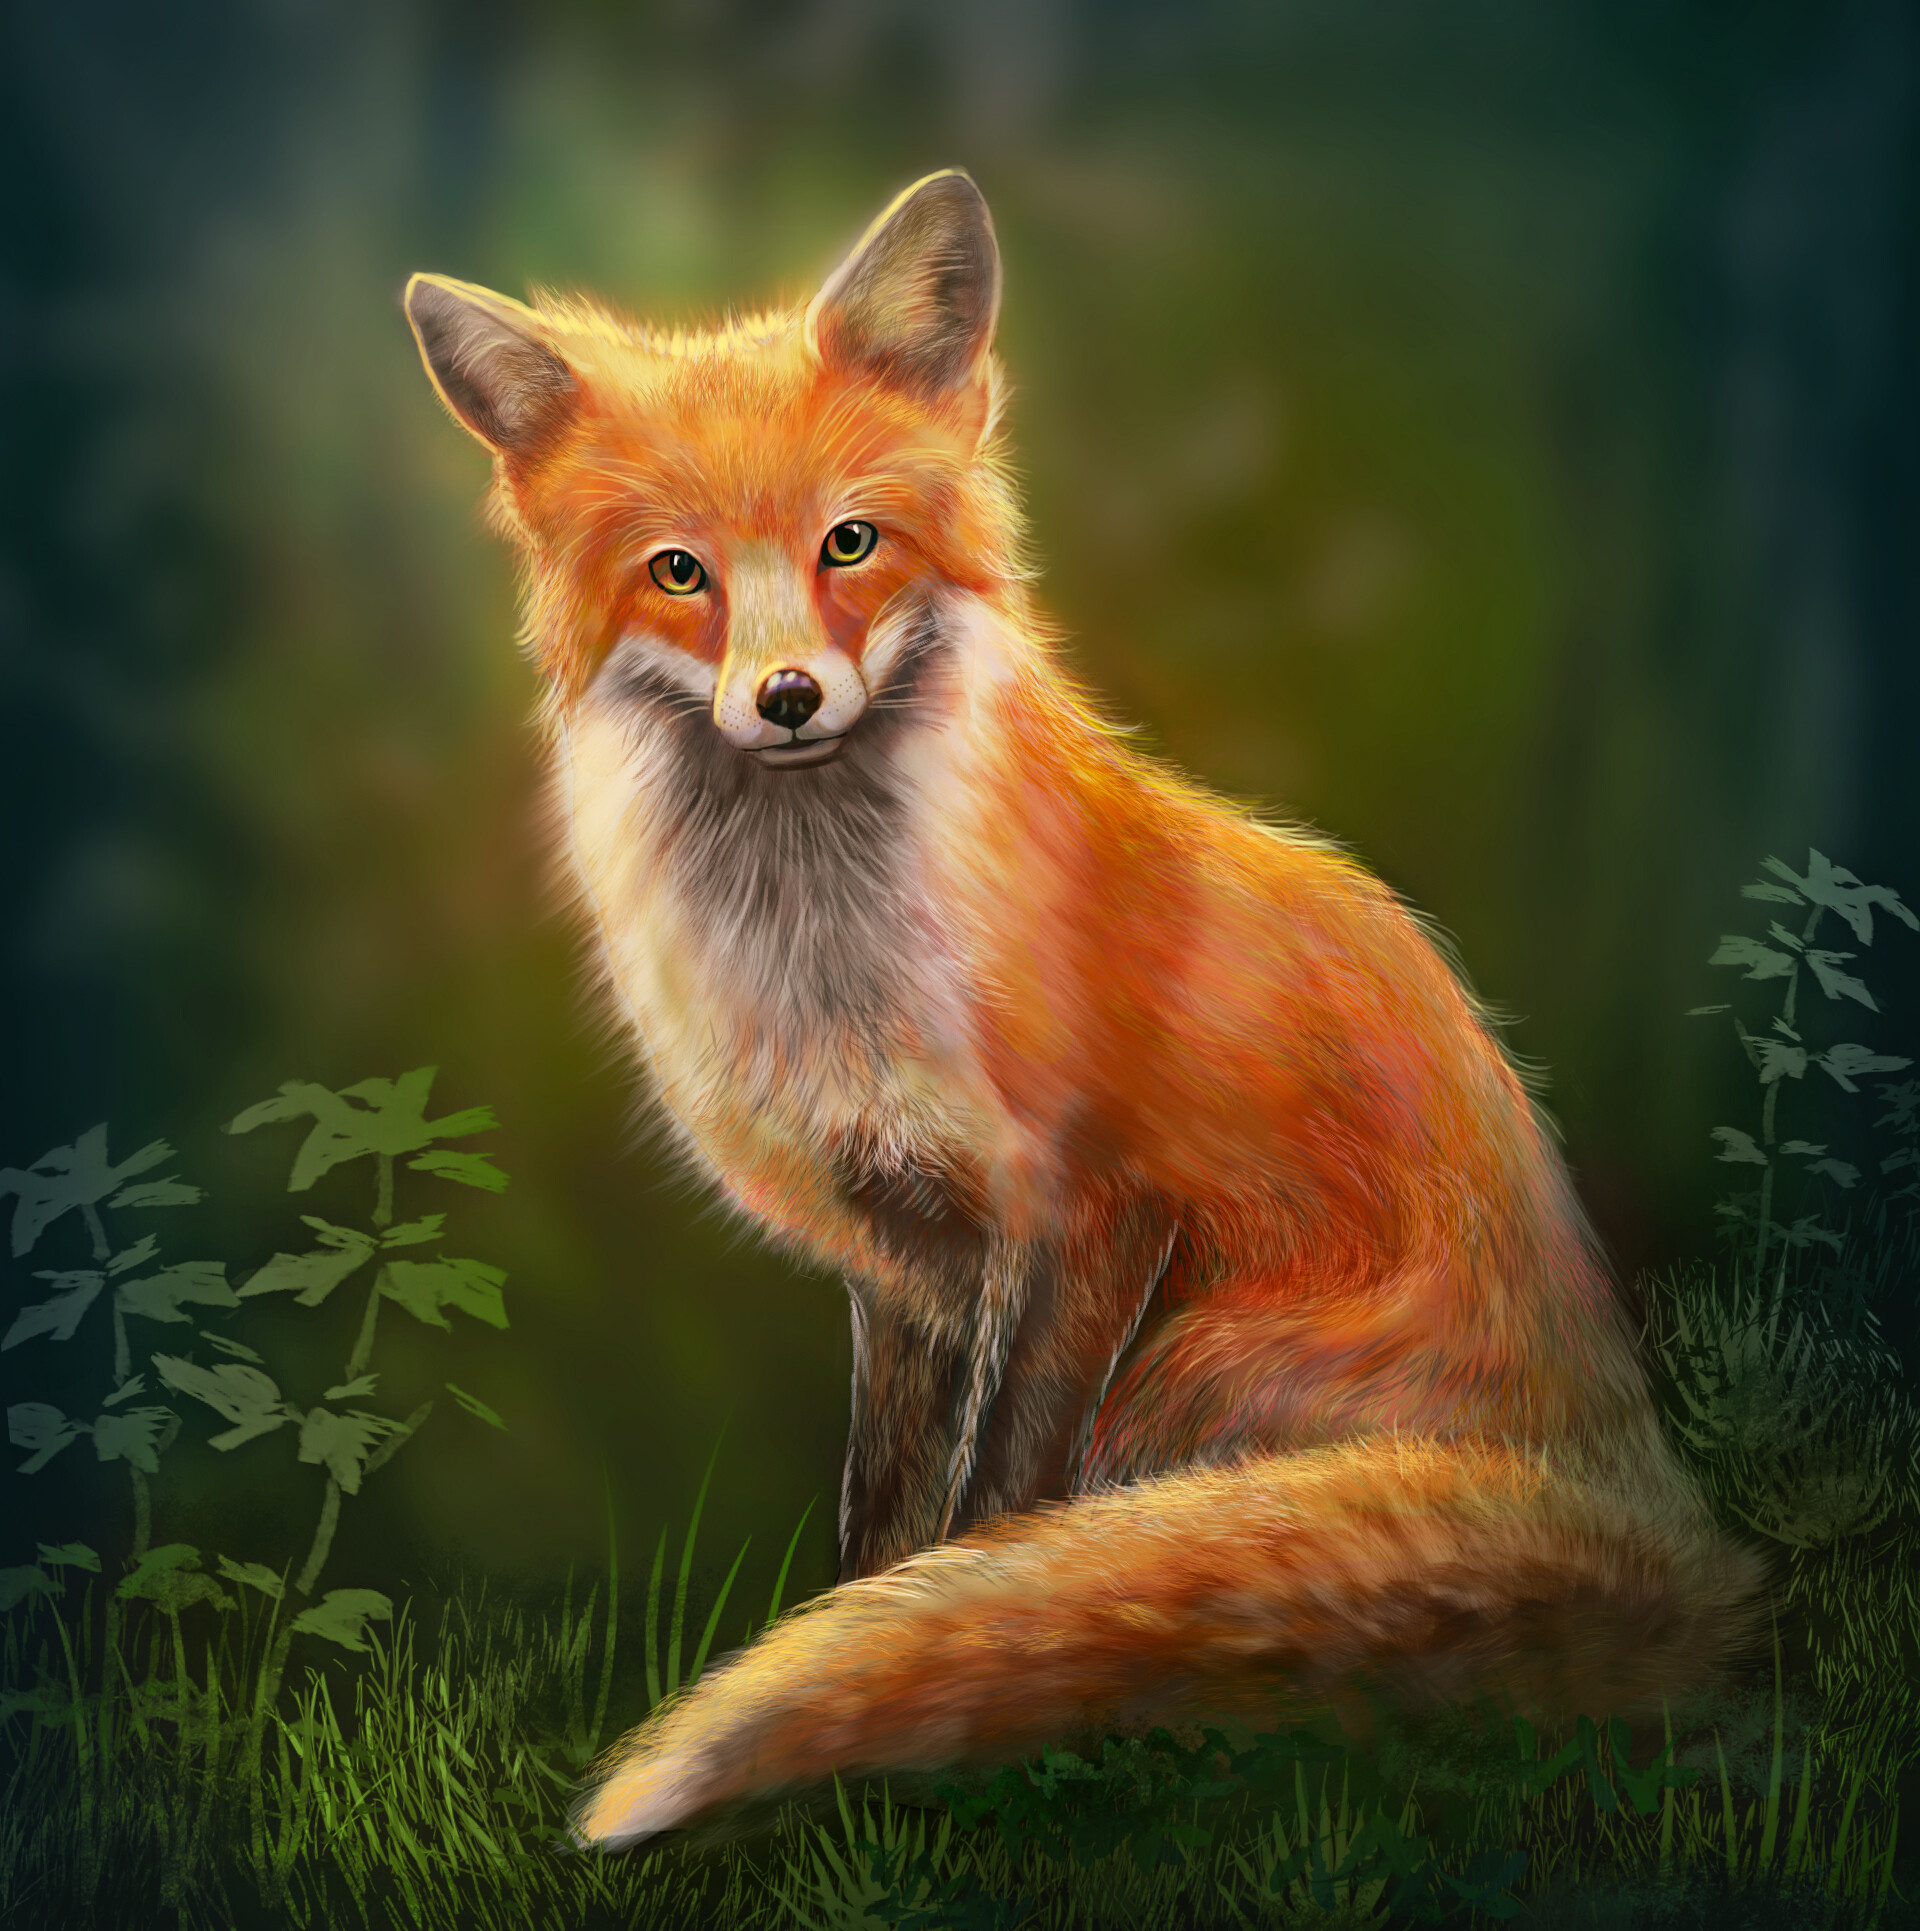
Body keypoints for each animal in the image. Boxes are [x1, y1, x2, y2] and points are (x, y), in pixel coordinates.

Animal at [403, 169, 1762, 1848]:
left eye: (851, 540)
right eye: (679, 570)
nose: (787, 698)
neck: (828, 956)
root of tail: (1649, 1504)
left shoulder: (1087, 1209)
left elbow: (994, 1505)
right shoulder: (905, 1256)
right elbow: (884, 1514)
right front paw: (855, 1645)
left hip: (1189, 1370)